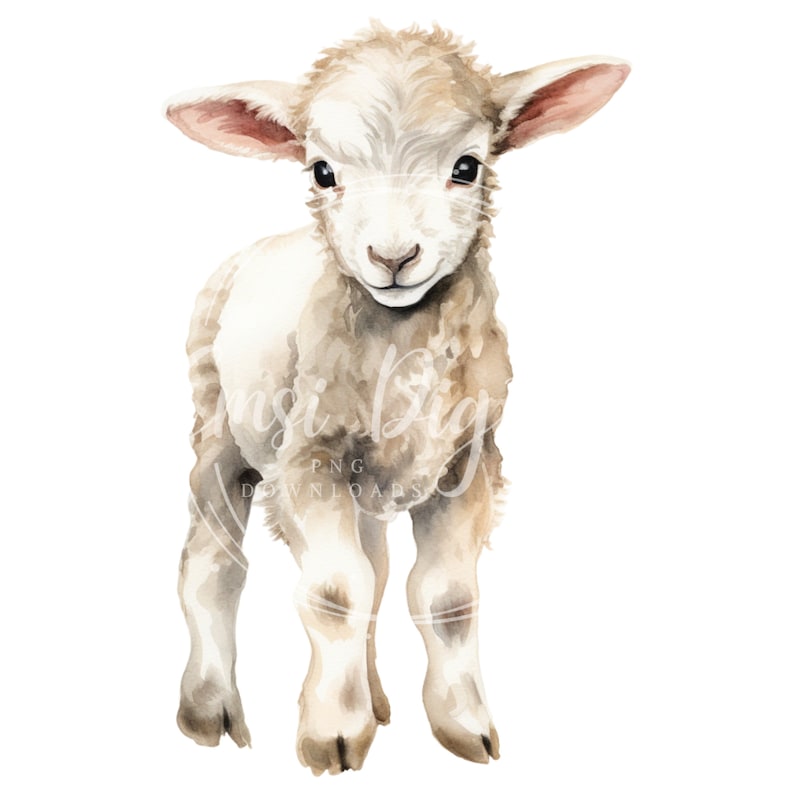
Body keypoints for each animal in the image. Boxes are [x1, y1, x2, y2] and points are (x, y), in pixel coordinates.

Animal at [166, 23, 629, 775]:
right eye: (322, 172)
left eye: (467, 166)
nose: (392, 257)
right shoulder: (310, 457)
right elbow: (334, 594)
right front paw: (331, 733)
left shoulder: (468, 463)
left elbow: (445, 599)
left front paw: (463, 726)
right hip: (219, 432)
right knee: (211, 566)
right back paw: (208, 711)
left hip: (370, 489)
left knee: (378, 569)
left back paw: (377, 700)